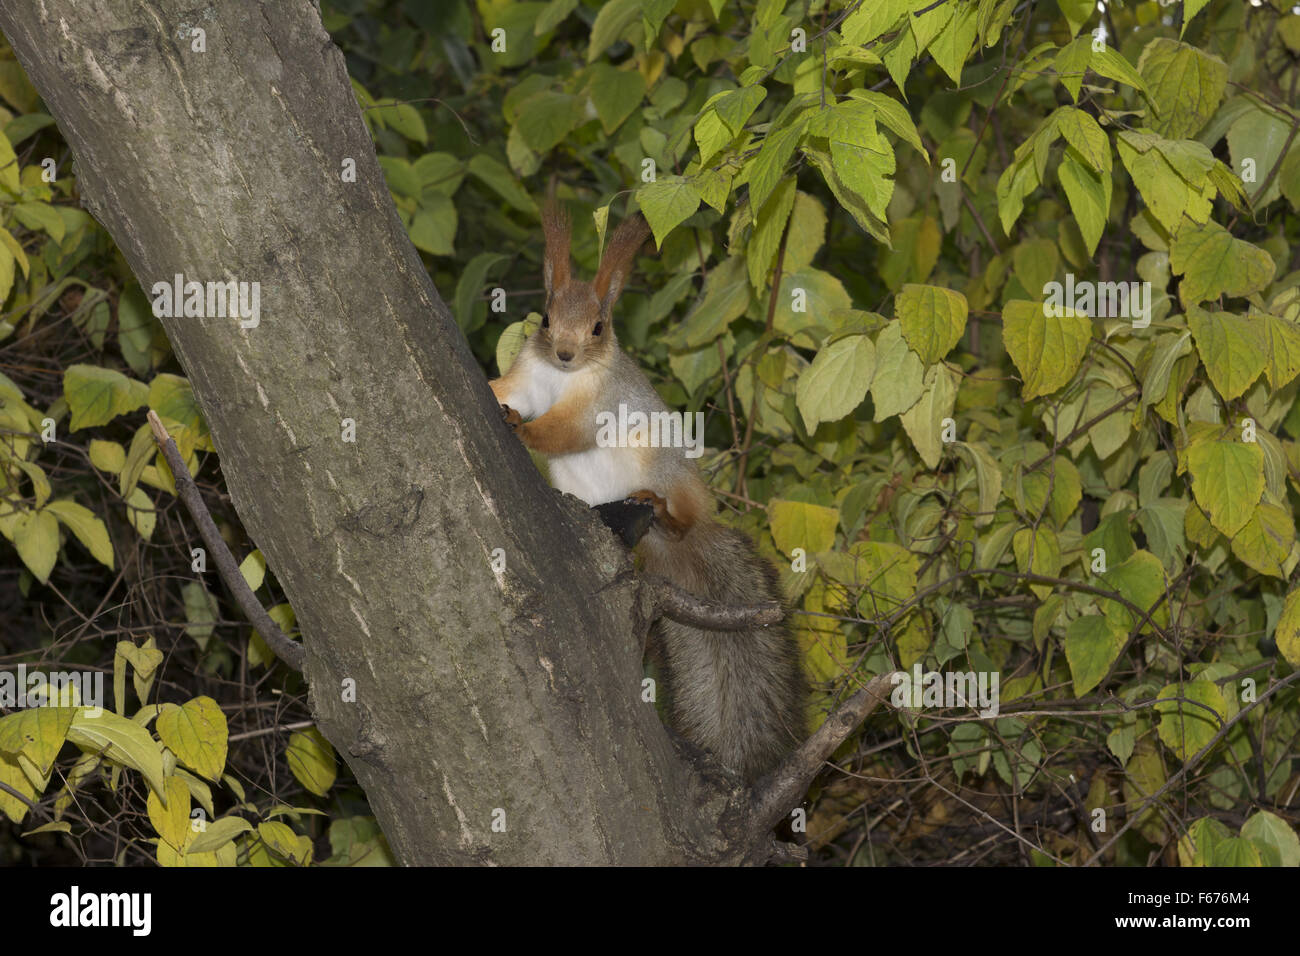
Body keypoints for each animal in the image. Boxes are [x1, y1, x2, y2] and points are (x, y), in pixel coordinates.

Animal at [489, 197, 806, 783]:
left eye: (598, 326)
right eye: (546, 318)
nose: (563, 354)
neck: (562, 379)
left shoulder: (596, 403)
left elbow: (564, 430)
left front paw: (524, 430)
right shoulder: (527, 377)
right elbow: (509, 391)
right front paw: (499, 397)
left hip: (660, 465)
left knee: (677, 517)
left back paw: (663, 510)